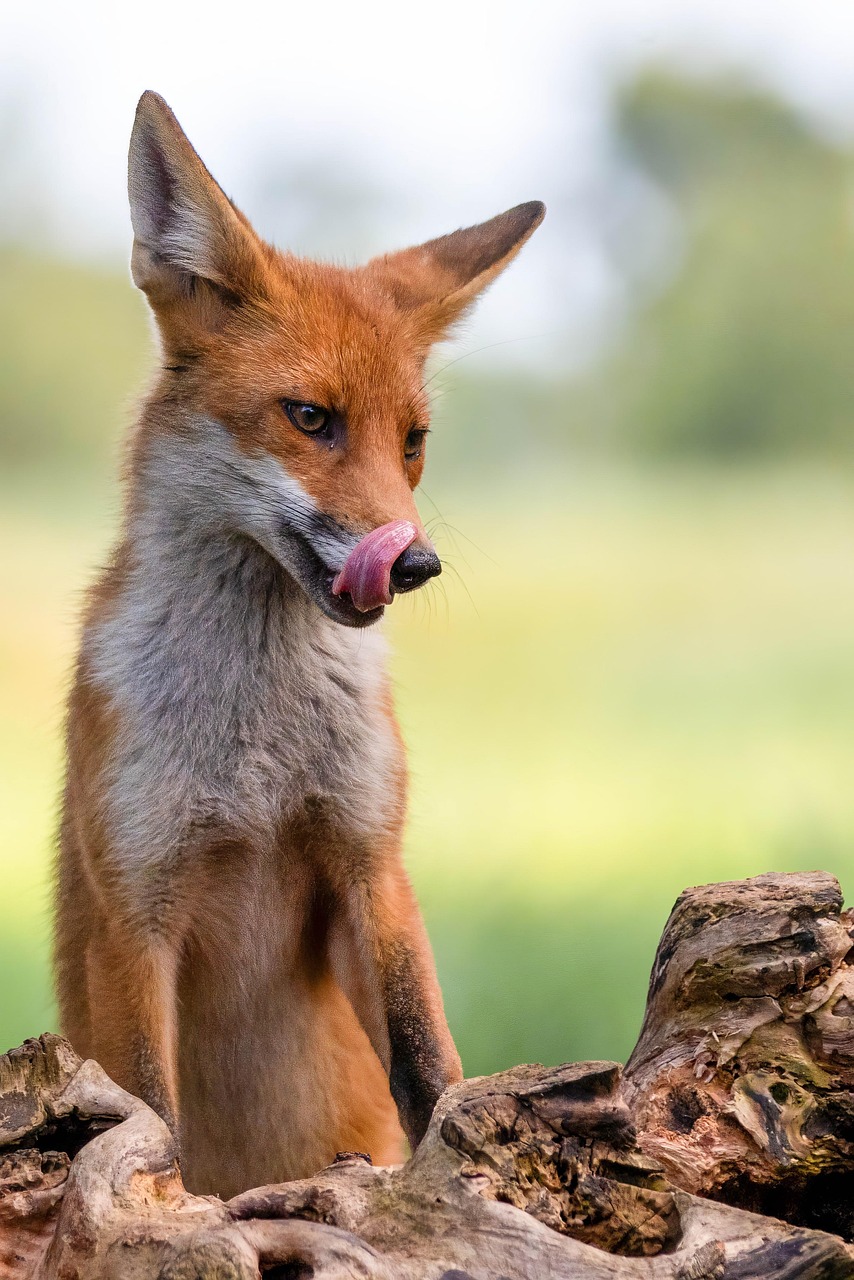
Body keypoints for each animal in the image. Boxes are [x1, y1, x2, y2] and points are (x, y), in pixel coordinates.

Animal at [55, 90, 544, 1199]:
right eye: (310, 418)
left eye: (412, 442)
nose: (415, 563)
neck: (257, 750)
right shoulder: (134, 911)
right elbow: (151, 1119)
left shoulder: (369, 865)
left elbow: (427, 1064)